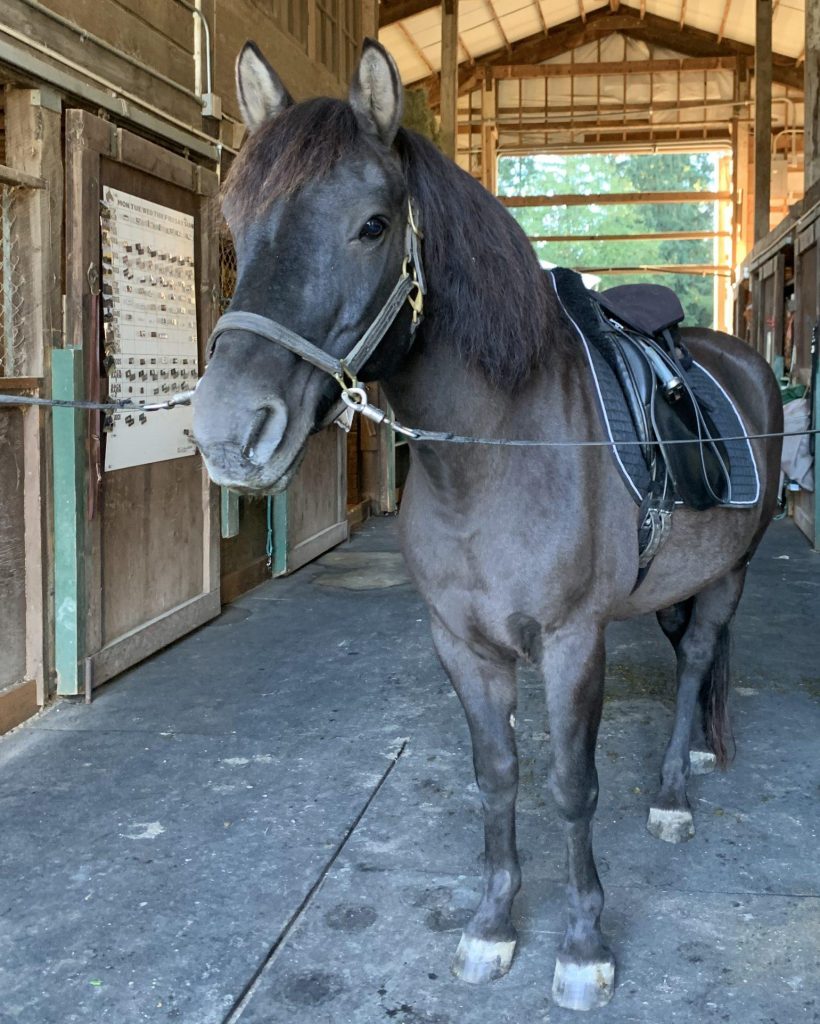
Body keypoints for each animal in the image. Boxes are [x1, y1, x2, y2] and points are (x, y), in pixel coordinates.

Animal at [193, 39, 783, 1011]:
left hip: (733, 573)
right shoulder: (462, 643)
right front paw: (494, 925)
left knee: (698, 659)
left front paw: (583, 946)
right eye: (236, 223)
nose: (229, 433)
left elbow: (571, 786)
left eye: (373, 225)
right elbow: (497, 775)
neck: (494, 453)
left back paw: (671, 794)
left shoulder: (574, 641)